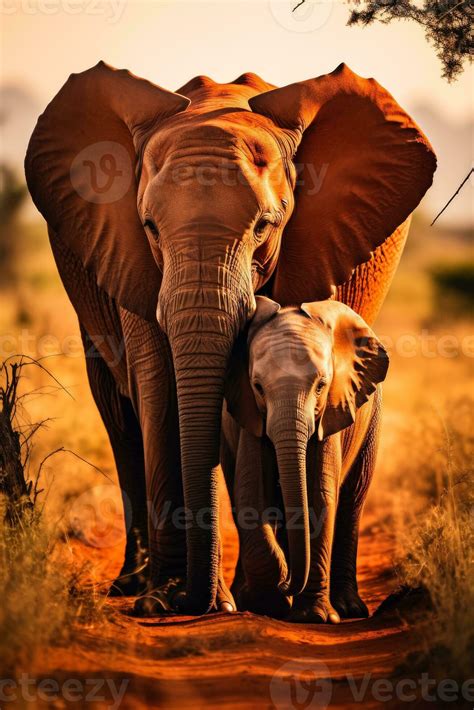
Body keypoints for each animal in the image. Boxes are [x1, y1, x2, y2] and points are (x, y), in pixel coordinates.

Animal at [222, 296, 389, 622]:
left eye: (322, 385)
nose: (288, 584)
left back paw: (349, 608)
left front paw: (314, 616)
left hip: (371, 424)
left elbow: (320, 495)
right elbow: (251, 495)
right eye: (258, 387)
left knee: (353, 501)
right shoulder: (250, 416)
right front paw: (272, 600)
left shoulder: (332, 411)